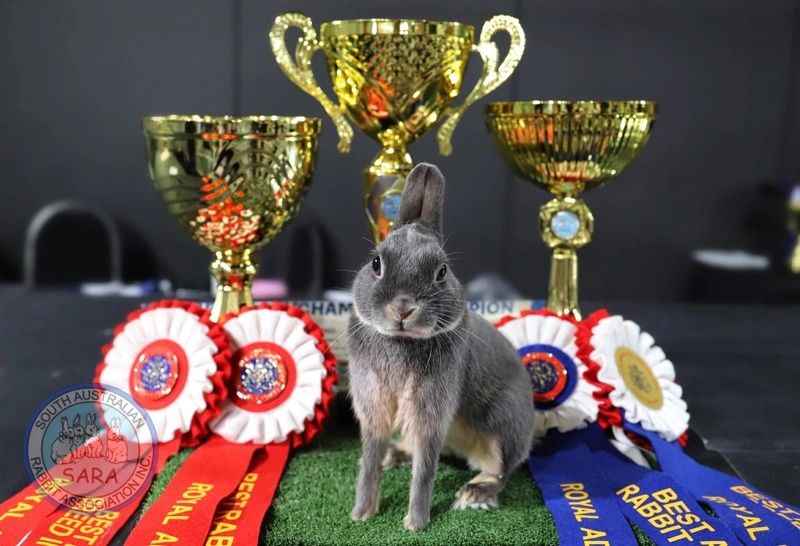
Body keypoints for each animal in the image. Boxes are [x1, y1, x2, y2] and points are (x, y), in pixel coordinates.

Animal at [348, 163, 537, 531]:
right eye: (376, 263)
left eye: (442, 271)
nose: (403, 307)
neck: (403, 340)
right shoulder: (374, 405)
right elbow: (370, 459)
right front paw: (361, 513)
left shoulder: (430, 411)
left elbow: (425, 471)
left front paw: (416, 523)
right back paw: (396, 454)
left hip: (503, 425)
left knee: (500, 471)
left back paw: (474, 493)